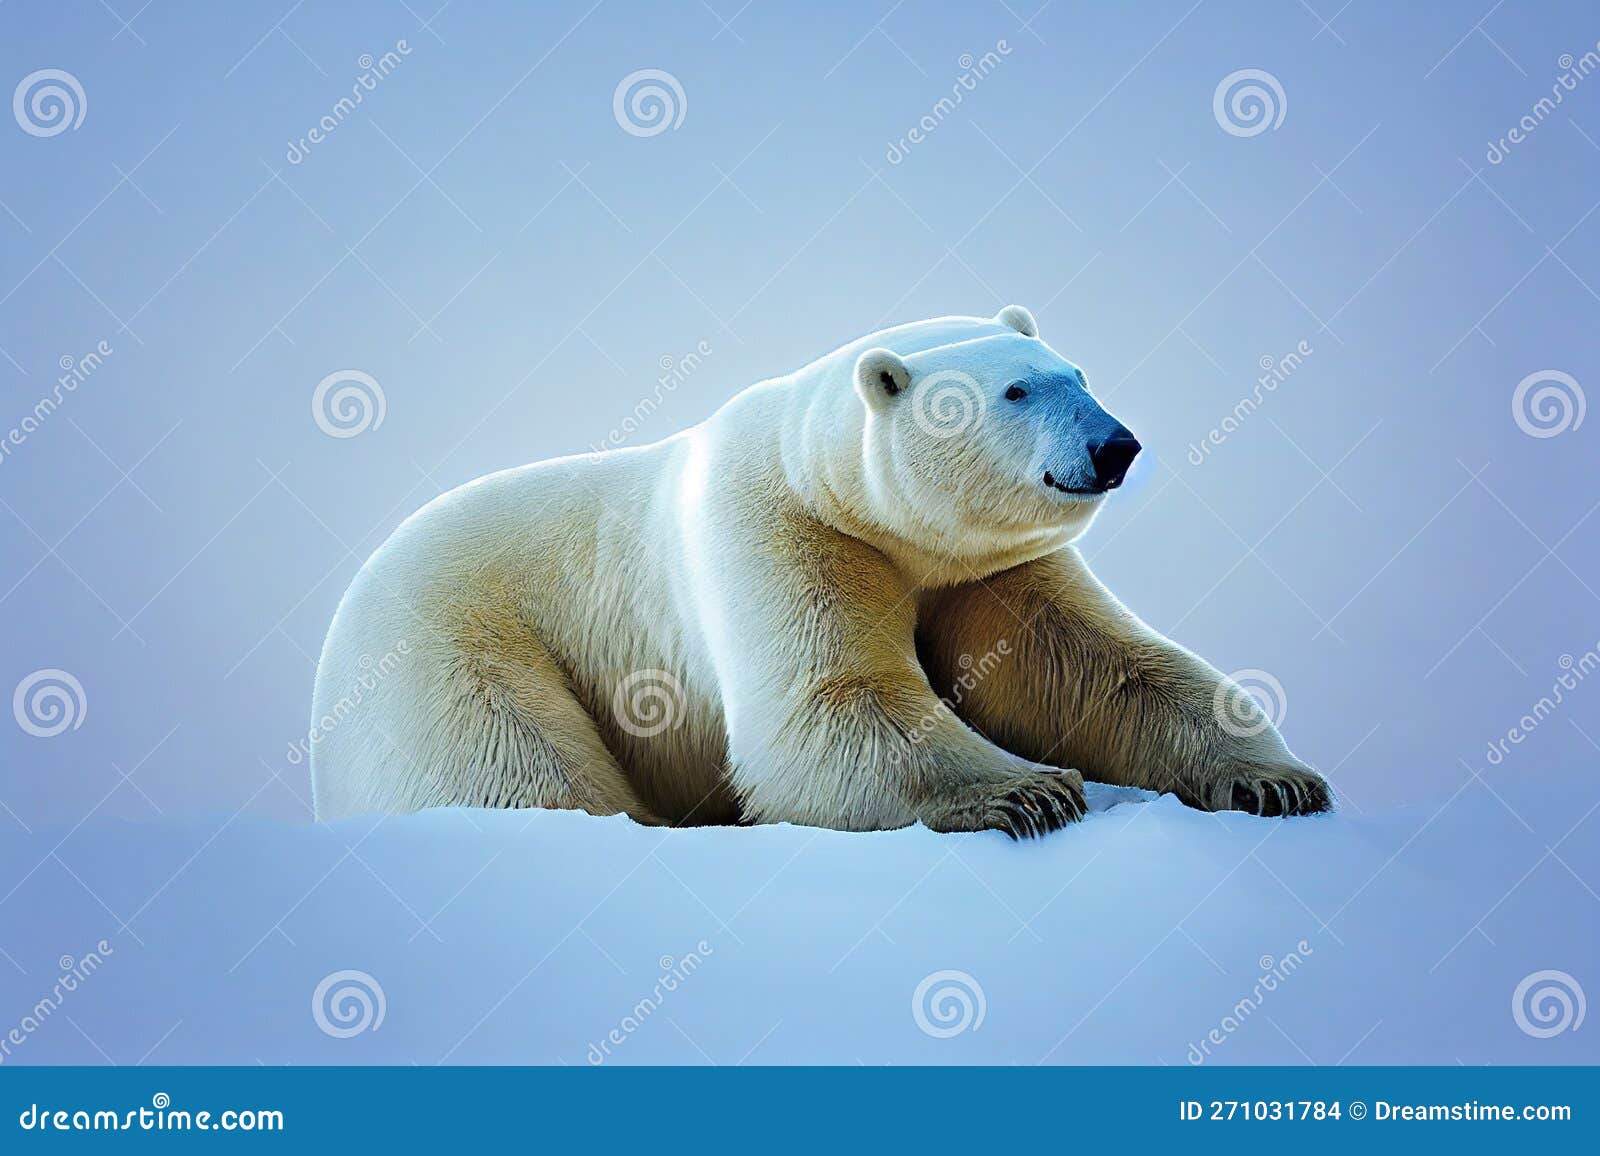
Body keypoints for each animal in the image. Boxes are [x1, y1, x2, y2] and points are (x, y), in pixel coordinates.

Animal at [309, 306, 1331, 835]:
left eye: (1077, 372)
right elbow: (834, 698)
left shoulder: (982, 567)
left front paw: (1278, 782)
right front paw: (1028, 791)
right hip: (443, 650)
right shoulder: (785, 530)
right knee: (511, 764)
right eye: (1016, 389)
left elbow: (1096, 669)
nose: (1114, 446)